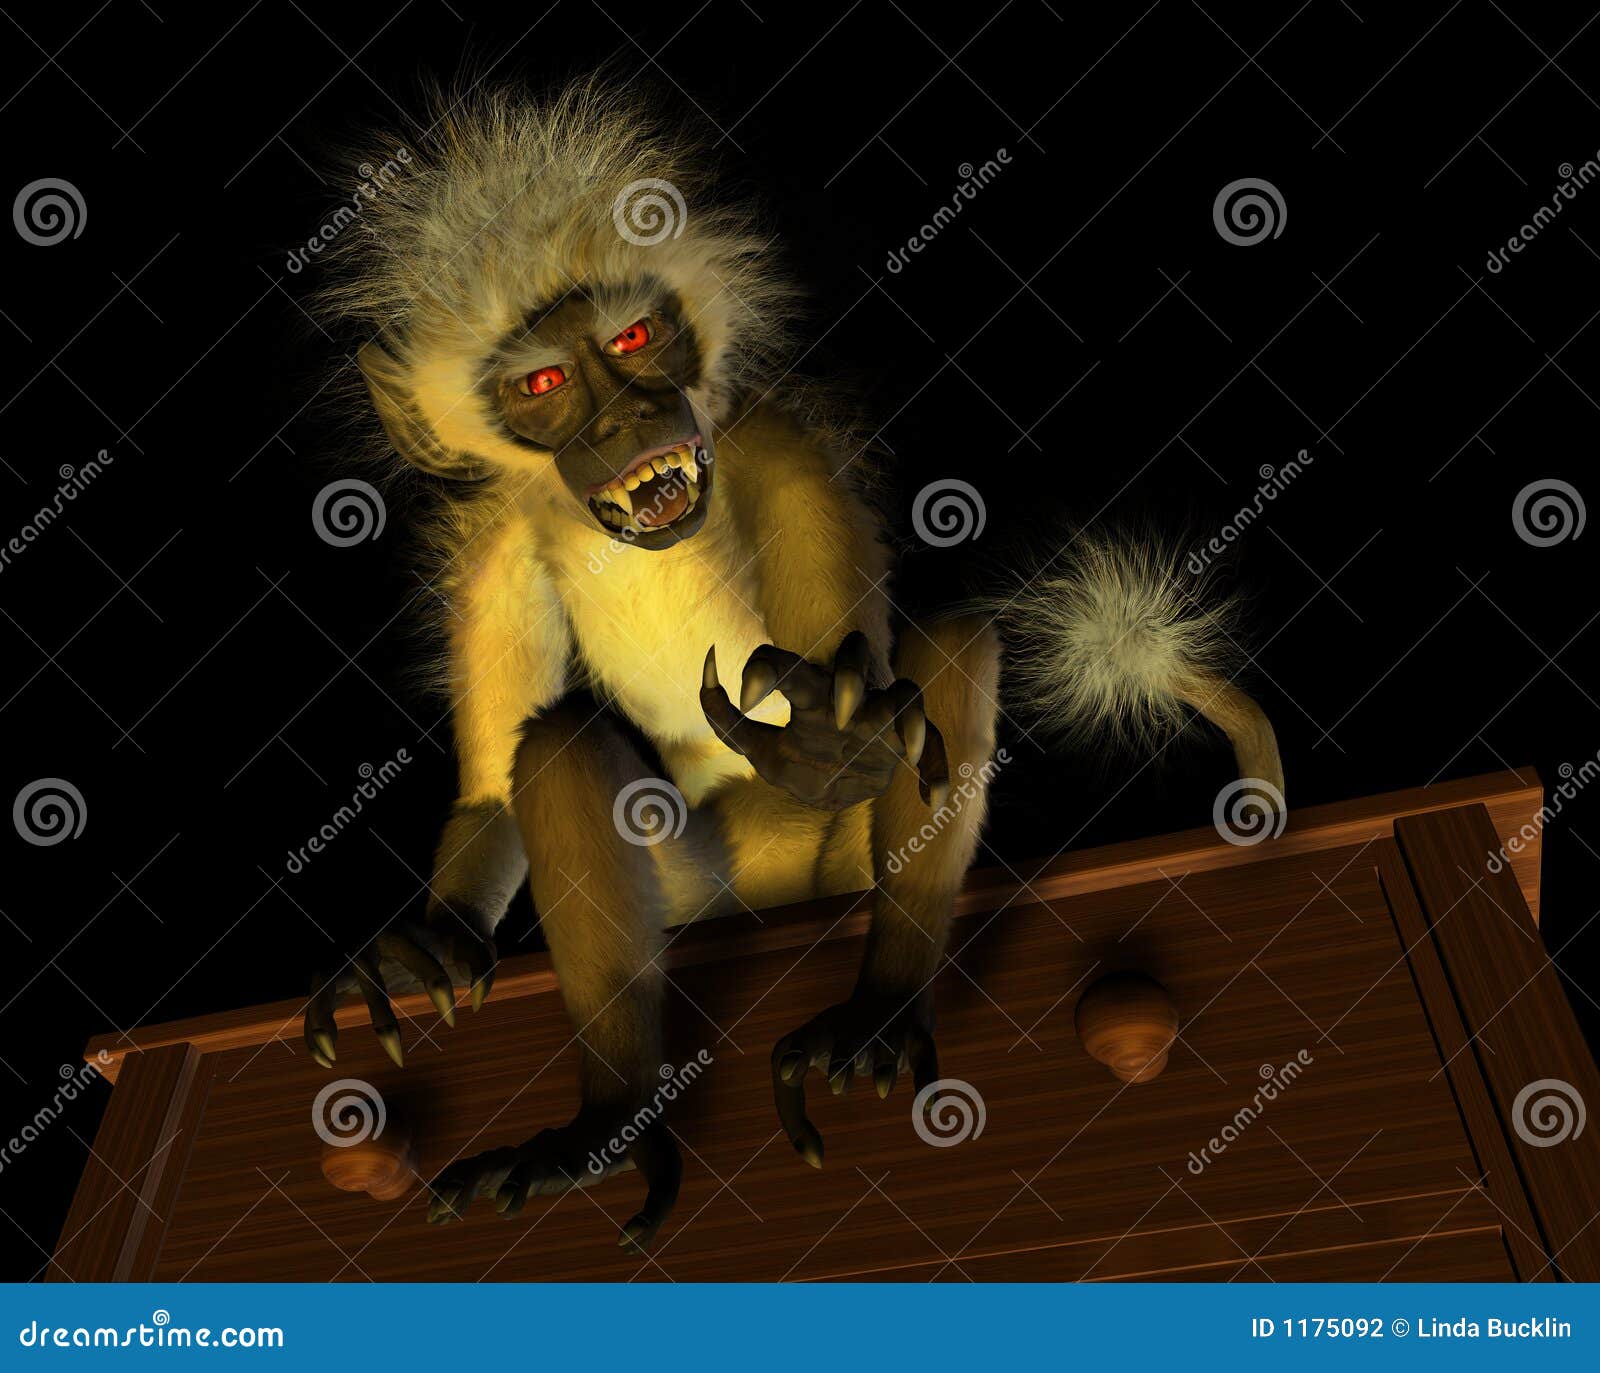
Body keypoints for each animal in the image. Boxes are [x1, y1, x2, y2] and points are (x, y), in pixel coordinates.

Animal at [299, 79, 1284, 1253]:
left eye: (633, 337)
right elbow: (494, 788)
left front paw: (835, 735)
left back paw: (884, 999)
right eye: (543, 380)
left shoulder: (773, 445)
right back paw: (611, 1116)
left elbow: (866, 689)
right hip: (700, 884)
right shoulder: (497, 548)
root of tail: (772, 878)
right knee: (562, 746)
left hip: (836, 857)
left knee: (945, 652)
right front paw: (430, 941)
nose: (630, 415)